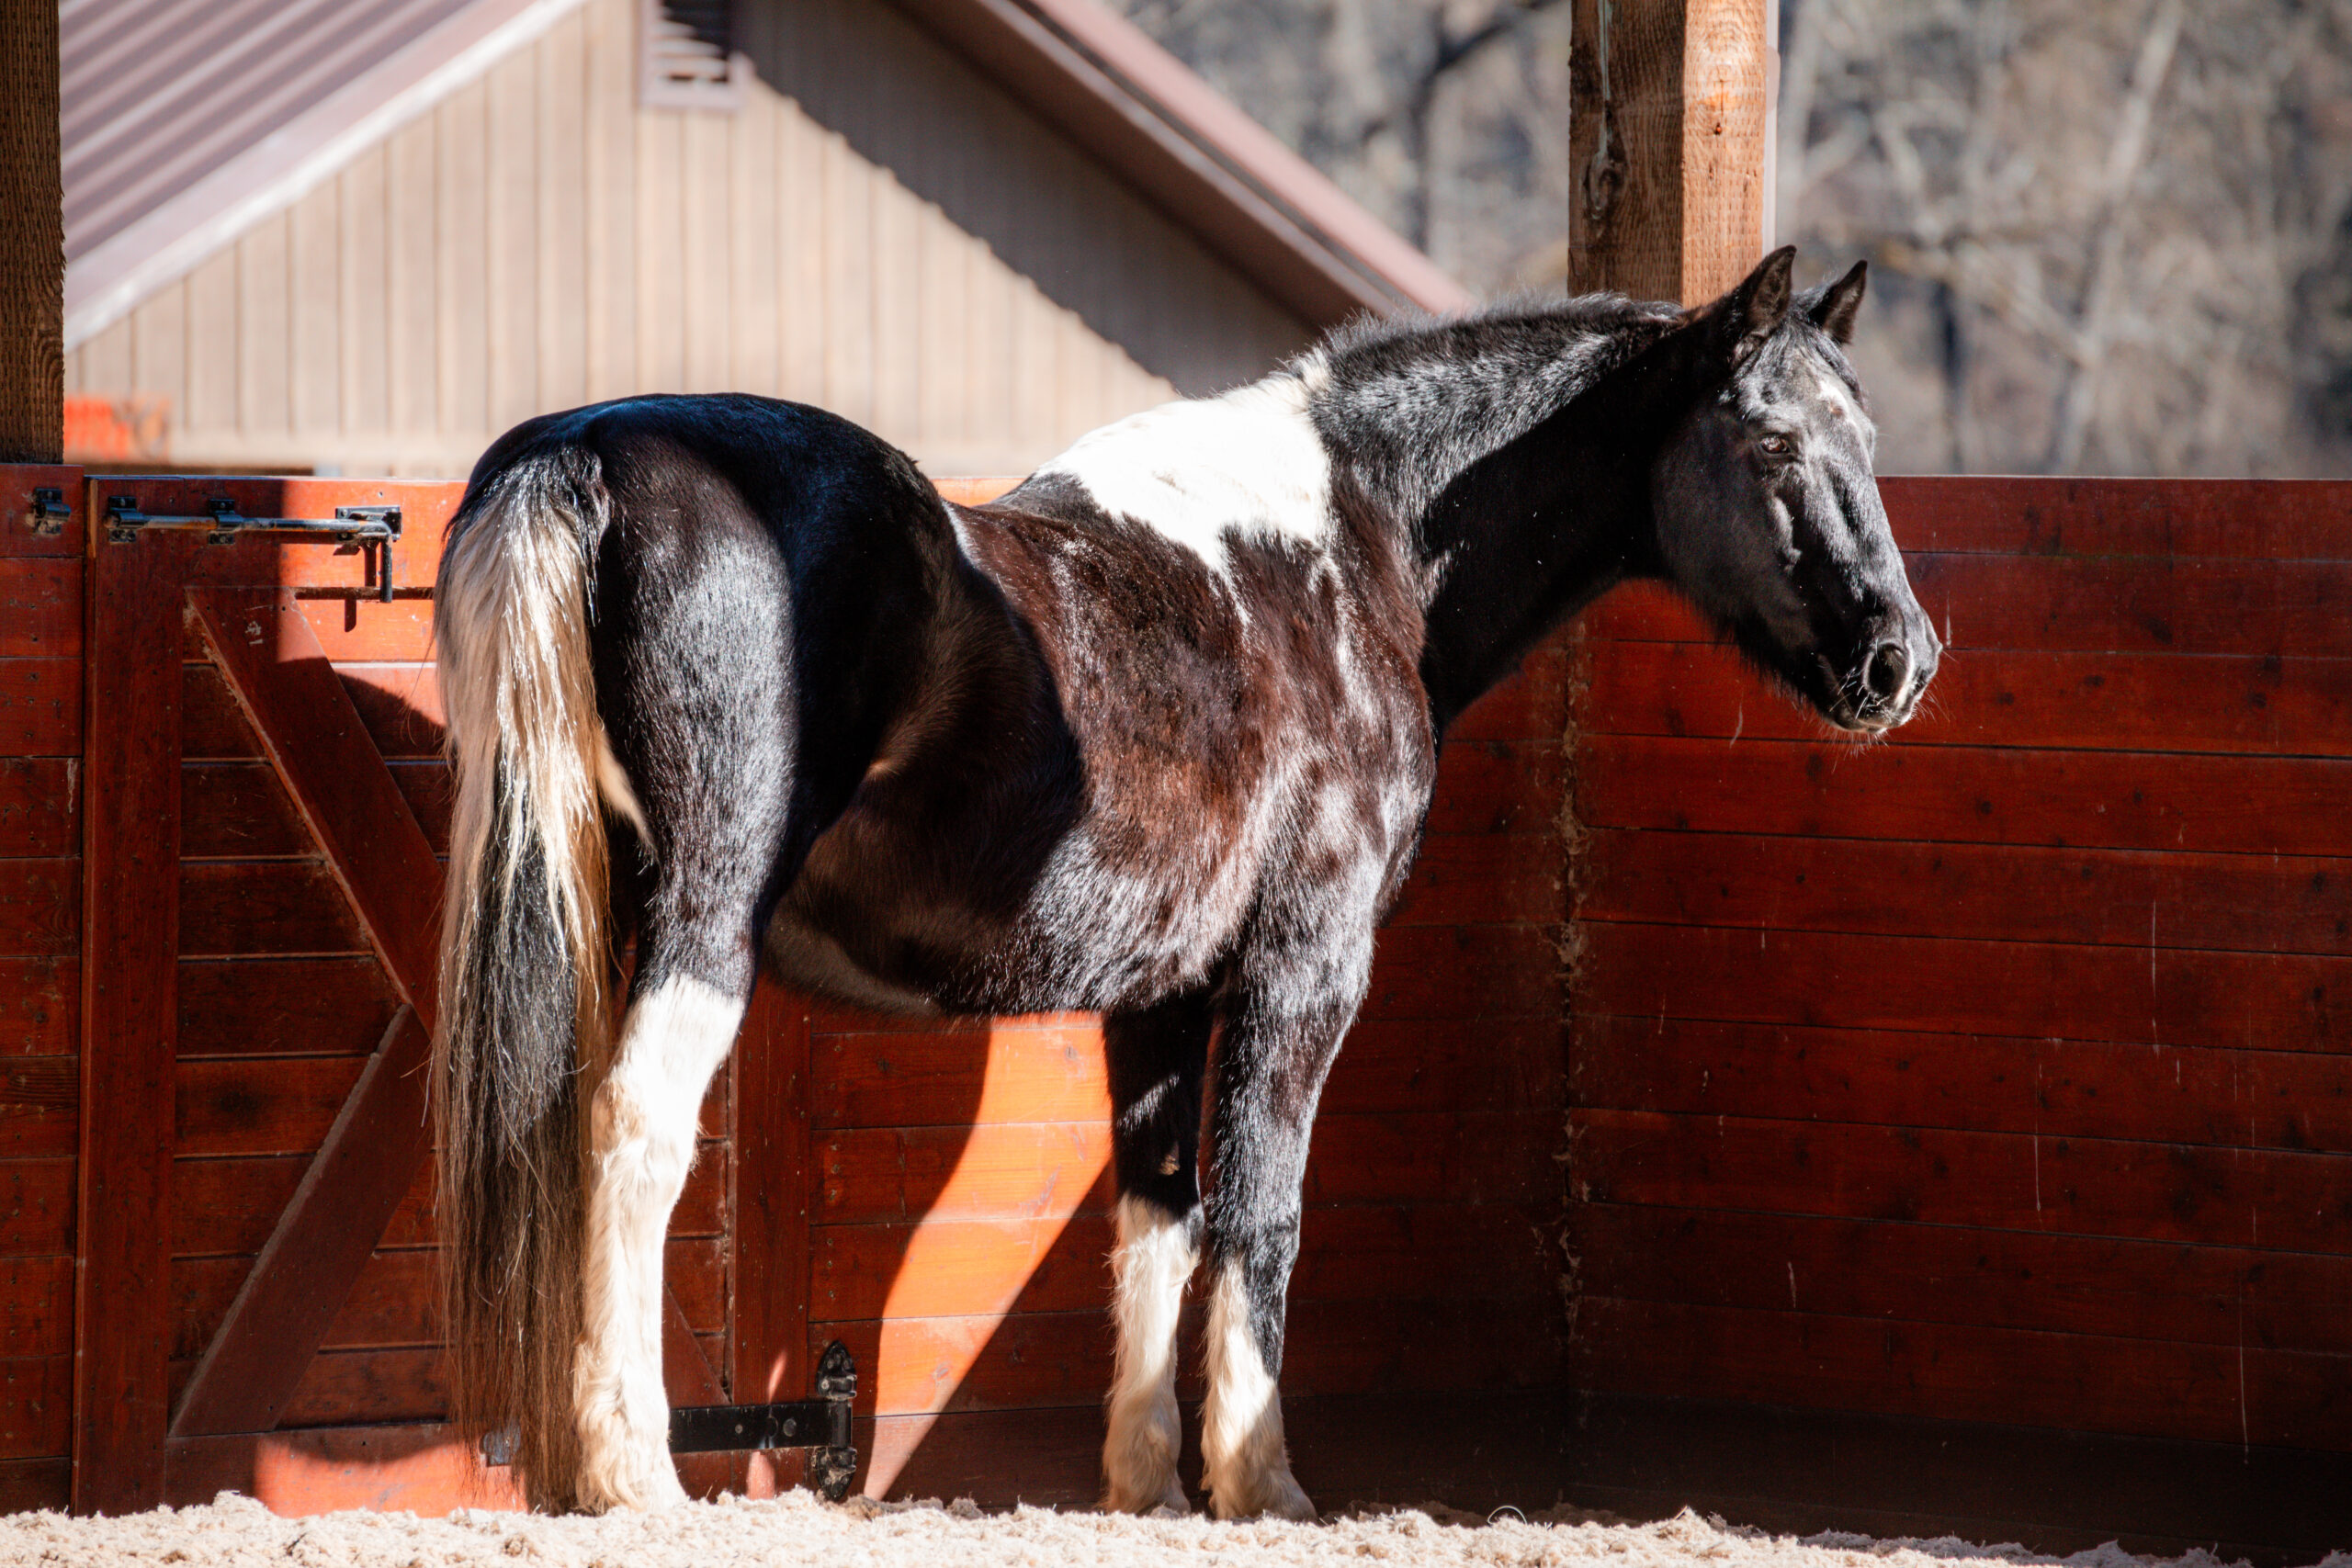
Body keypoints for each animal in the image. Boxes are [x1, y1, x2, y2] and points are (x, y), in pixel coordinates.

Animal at [431, 246, 1937, 1519]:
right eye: (1771, 442)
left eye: (1867, 439)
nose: (1899, 658)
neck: (1354, 548)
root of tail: (586, 453)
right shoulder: (1303, 970)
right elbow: (1261, 1210)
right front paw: (1260, 1480)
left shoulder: (1158, 993)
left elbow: (1160, 1211)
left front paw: (1147, 1478)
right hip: (705, 917)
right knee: (634, 1129)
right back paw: (633, 1468)